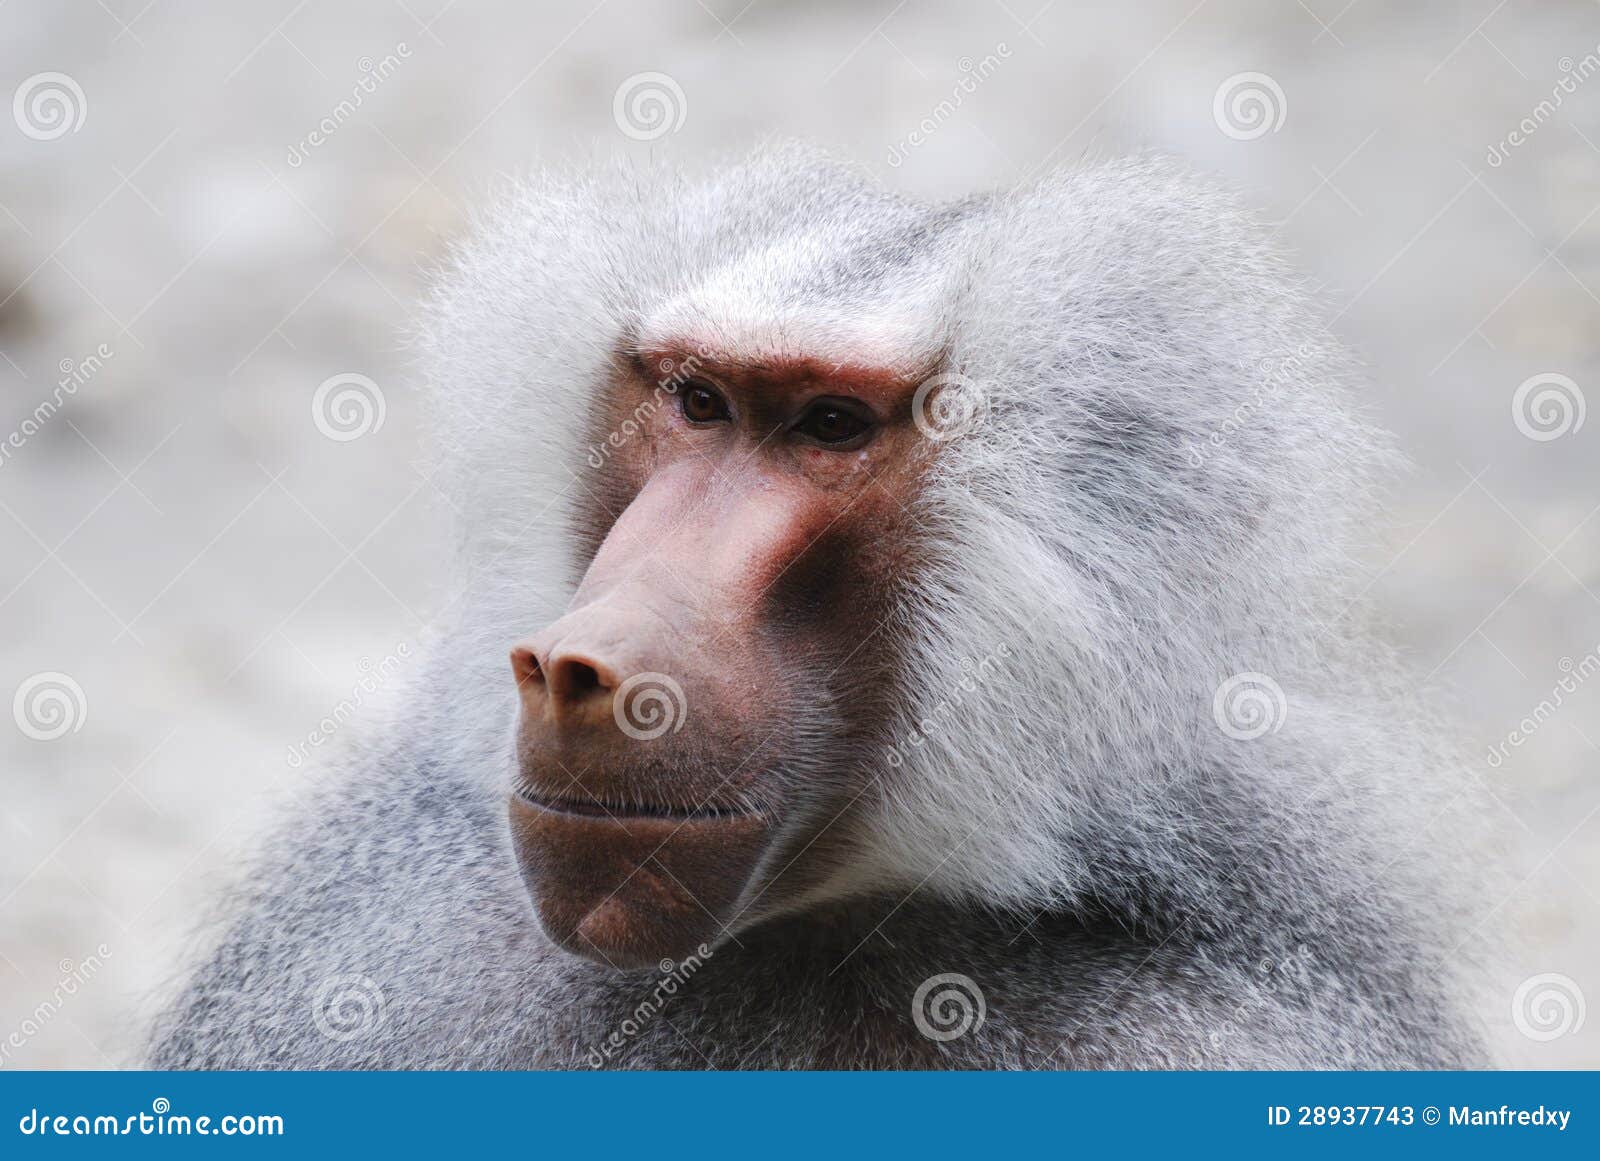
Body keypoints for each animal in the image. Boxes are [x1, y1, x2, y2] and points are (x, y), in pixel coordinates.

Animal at [146, 144, 1493, 1069]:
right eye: (695, 402)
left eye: (830, 426)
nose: (583, 668)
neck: (838, 930)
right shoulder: (377, 948)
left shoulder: (1230, 1021)